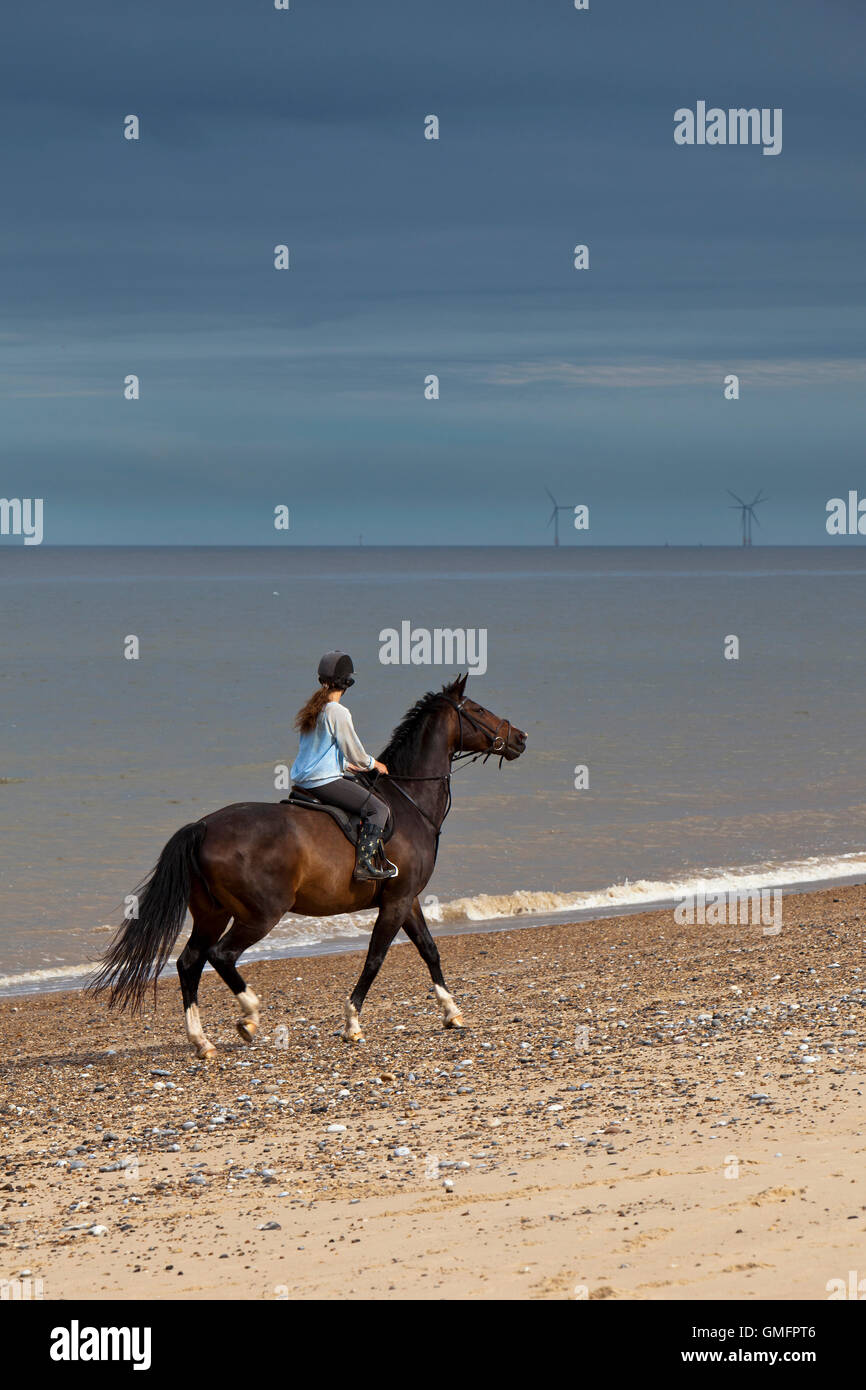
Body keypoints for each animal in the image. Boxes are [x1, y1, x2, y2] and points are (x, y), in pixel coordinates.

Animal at [90, 674, 527, 1056]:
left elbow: (429, 950)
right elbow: (376, 958)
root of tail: (203, 826)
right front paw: (352, 1023)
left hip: (212, 913)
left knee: (189, 962)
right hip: (260, 914)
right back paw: (249, 1018)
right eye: (478, 709)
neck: (409, 801)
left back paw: (202, 1042)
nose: (520, 738)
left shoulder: (408, 899)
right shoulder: (397, 901)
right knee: (221, 955)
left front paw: (452, 1012)